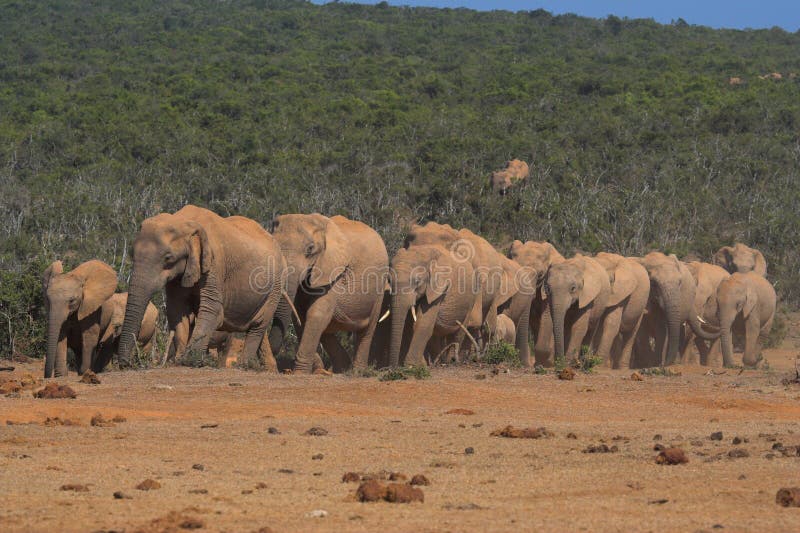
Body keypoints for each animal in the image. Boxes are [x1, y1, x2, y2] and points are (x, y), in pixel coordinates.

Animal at [117, 205, 285, 371]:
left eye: (168, 258)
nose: (125, 363)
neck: (182, 221)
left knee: (258, 325)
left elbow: (213, 309)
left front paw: (191, 360)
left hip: (275, 286)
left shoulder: (214, 263)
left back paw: (244, 366)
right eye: (132, 254)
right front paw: (179, 360)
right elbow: (177, 309)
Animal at [270, 214, 389, 373]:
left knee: (367, 330)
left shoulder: (333, 271)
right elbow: (301, 315)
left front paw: (300, 372)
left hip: (379, 289)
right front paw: (315, 370)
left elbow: (316, 314)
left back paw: (357, 372)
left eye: (310, 249)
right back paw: (341, 368)